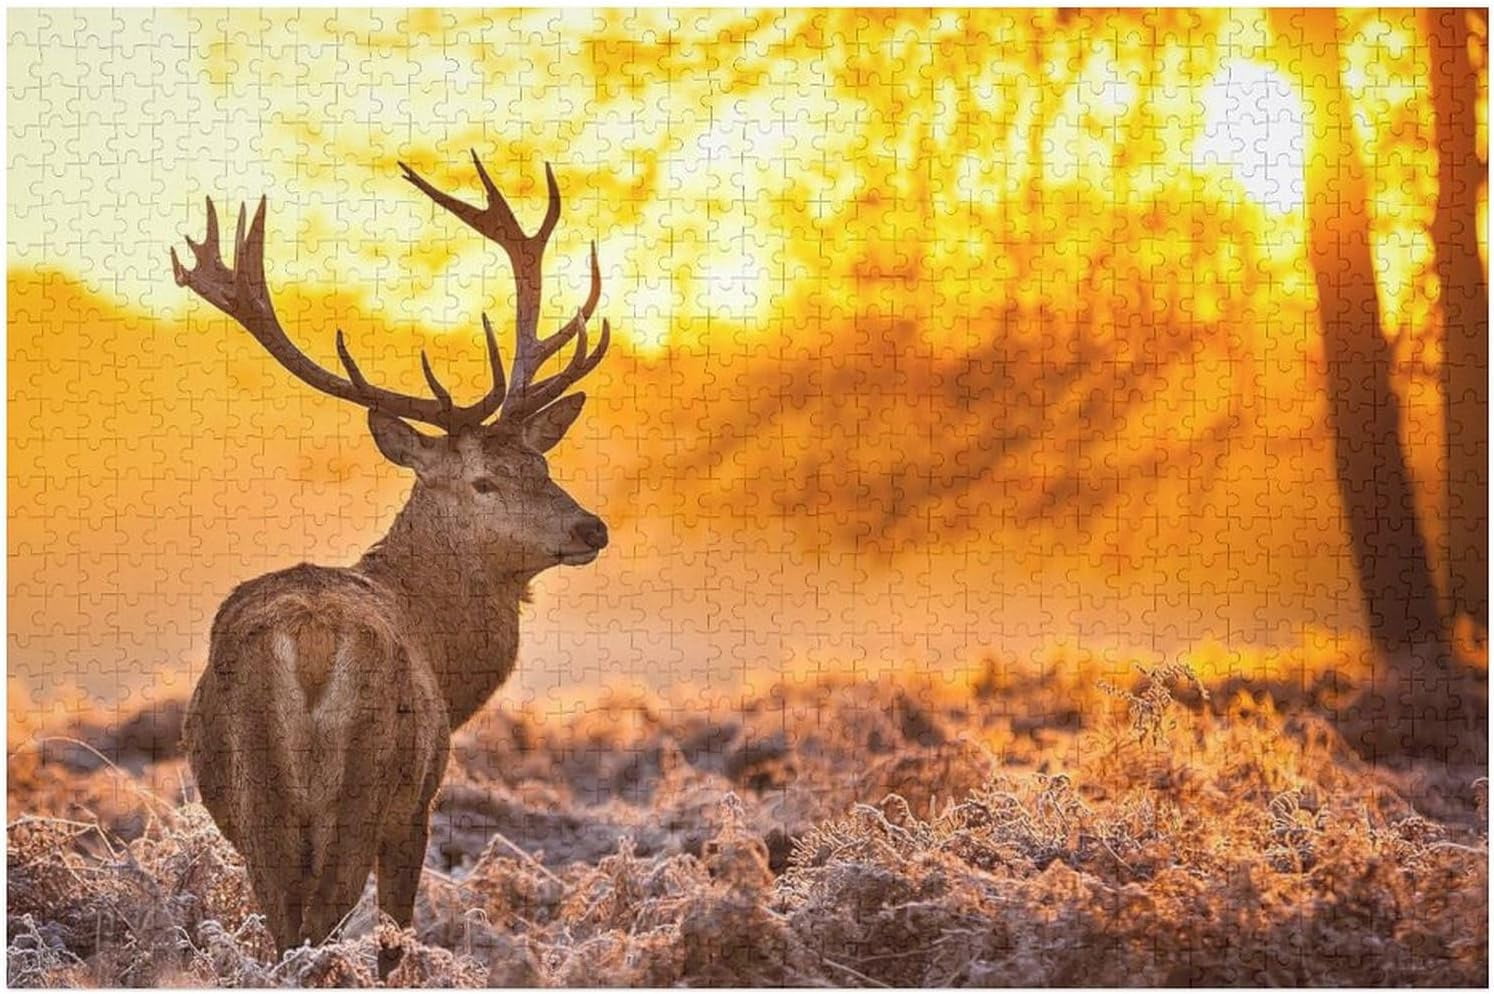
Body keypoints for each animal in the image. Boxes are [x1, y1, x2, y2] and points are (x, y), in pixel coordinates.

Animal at [171, 153, 611, 959]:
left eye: (542, 464)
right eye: (484, 480)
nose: (591, 528)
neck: (445, 653)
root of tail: (311, 640)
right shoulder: (419, 802)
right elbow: (395, 935)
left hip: (257, 804)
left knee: (283, 927)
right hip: (368, 782)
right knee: (320, 924)